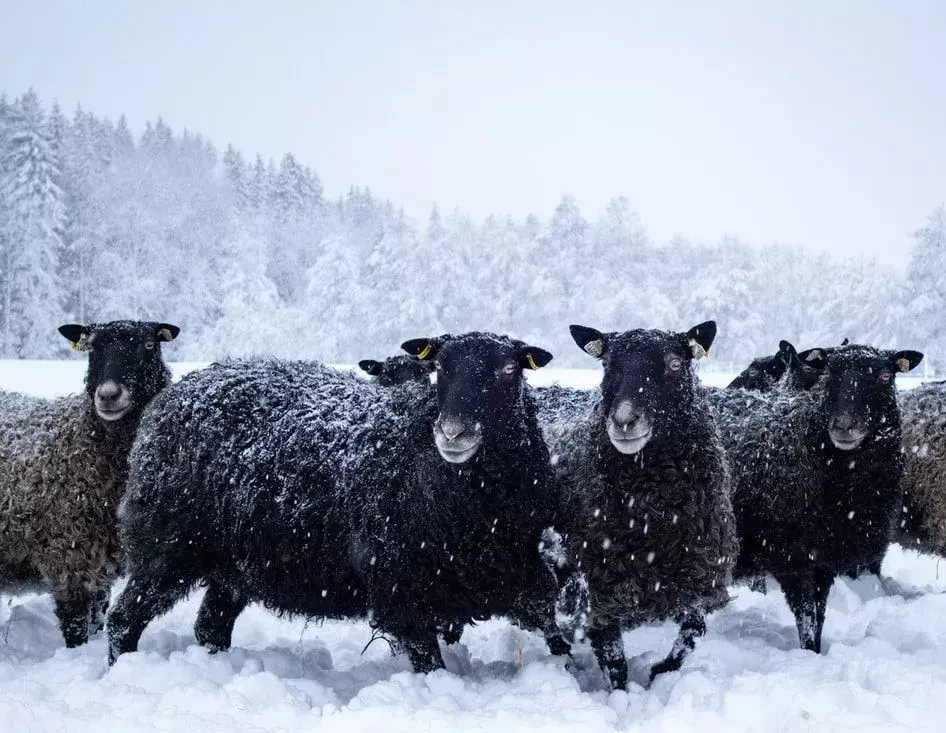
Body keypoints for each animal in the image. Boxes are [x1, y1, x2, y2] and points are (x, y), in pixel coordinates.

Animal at [0, 320, 179, 648]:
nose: (108, 395)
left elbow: (98, 618)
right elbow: (76, 625)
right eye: (92, 347)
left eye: (149, 345)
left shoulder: (101, 563)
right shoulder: (69, 556)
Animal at [110, 332, 568, 668]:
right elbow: (430, 664)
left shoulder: (517, 570)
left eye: (509, 369)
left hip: (235, 562)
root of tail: (173, 395)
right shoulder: (401, 589)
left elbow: (554, 631)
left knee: (211, 626)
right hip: (167, 545)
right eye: (440, 368)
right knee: (123, 620)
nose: (453, 433)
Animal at [728, 340, 920, 648]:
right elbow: (806, 617)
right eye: (828, 375)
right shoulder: (790, 557)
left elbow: (818, 615)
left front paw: (816, 651)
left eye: (885, 376)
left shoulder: (825, 558)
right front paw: (808, 653)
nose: (844, 425)